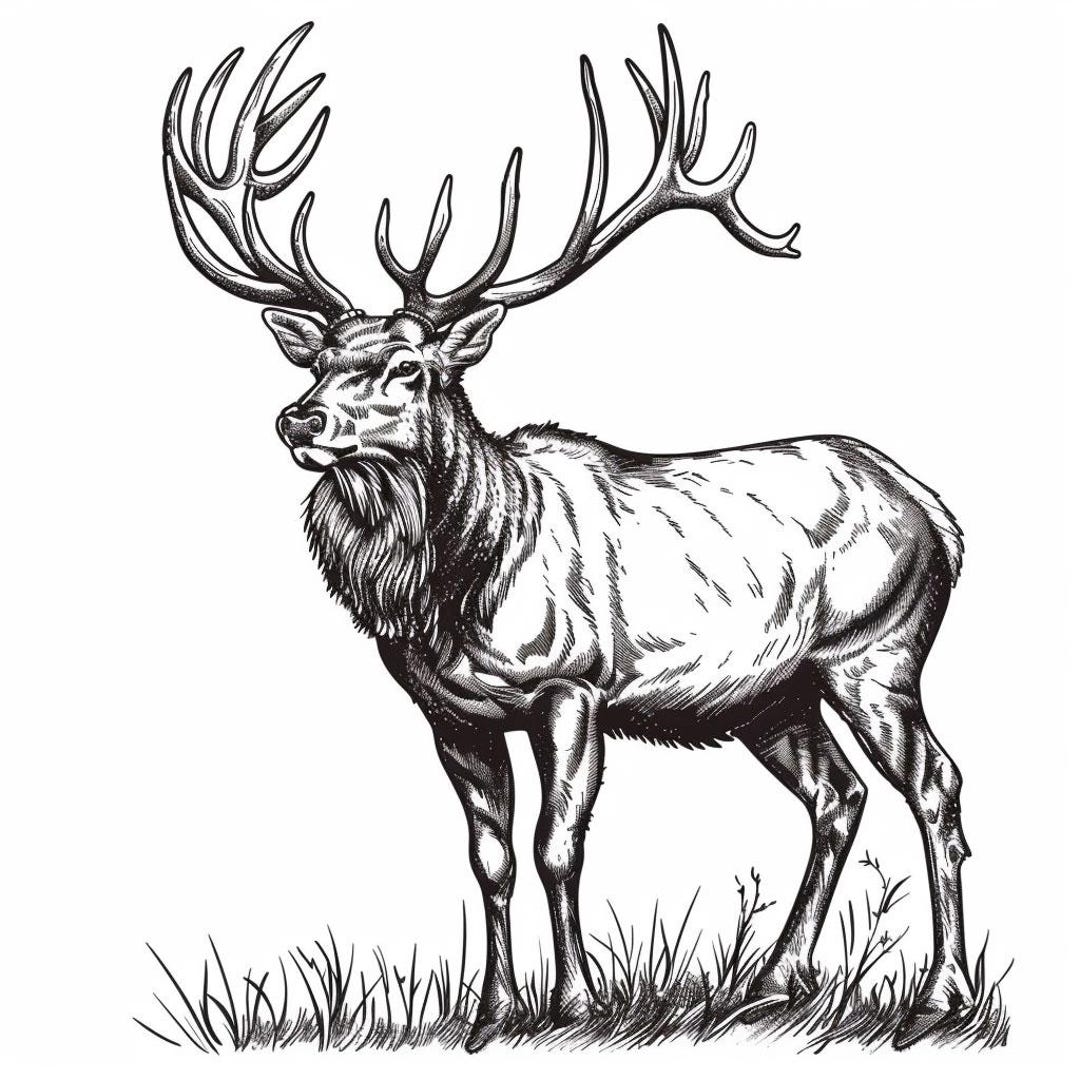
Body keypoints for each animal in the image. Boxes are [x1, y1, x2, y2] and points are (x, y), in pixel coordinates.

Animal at [163, 23, 975, 1051]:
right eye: (322, 357)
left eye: (408, 366)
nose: (298, 418)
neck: (456, 587)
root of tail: (940, 514)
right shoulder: (452, 714)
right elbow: (491, 856)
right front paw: (488, 1012)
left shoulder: (573, 683)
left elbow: (558, 843)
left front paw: (577, 1003)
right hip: (772, 695)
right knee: (840, 795)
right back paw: (771, 983)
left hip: (876, 652)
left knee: (934, 784)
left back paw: (938, 996)